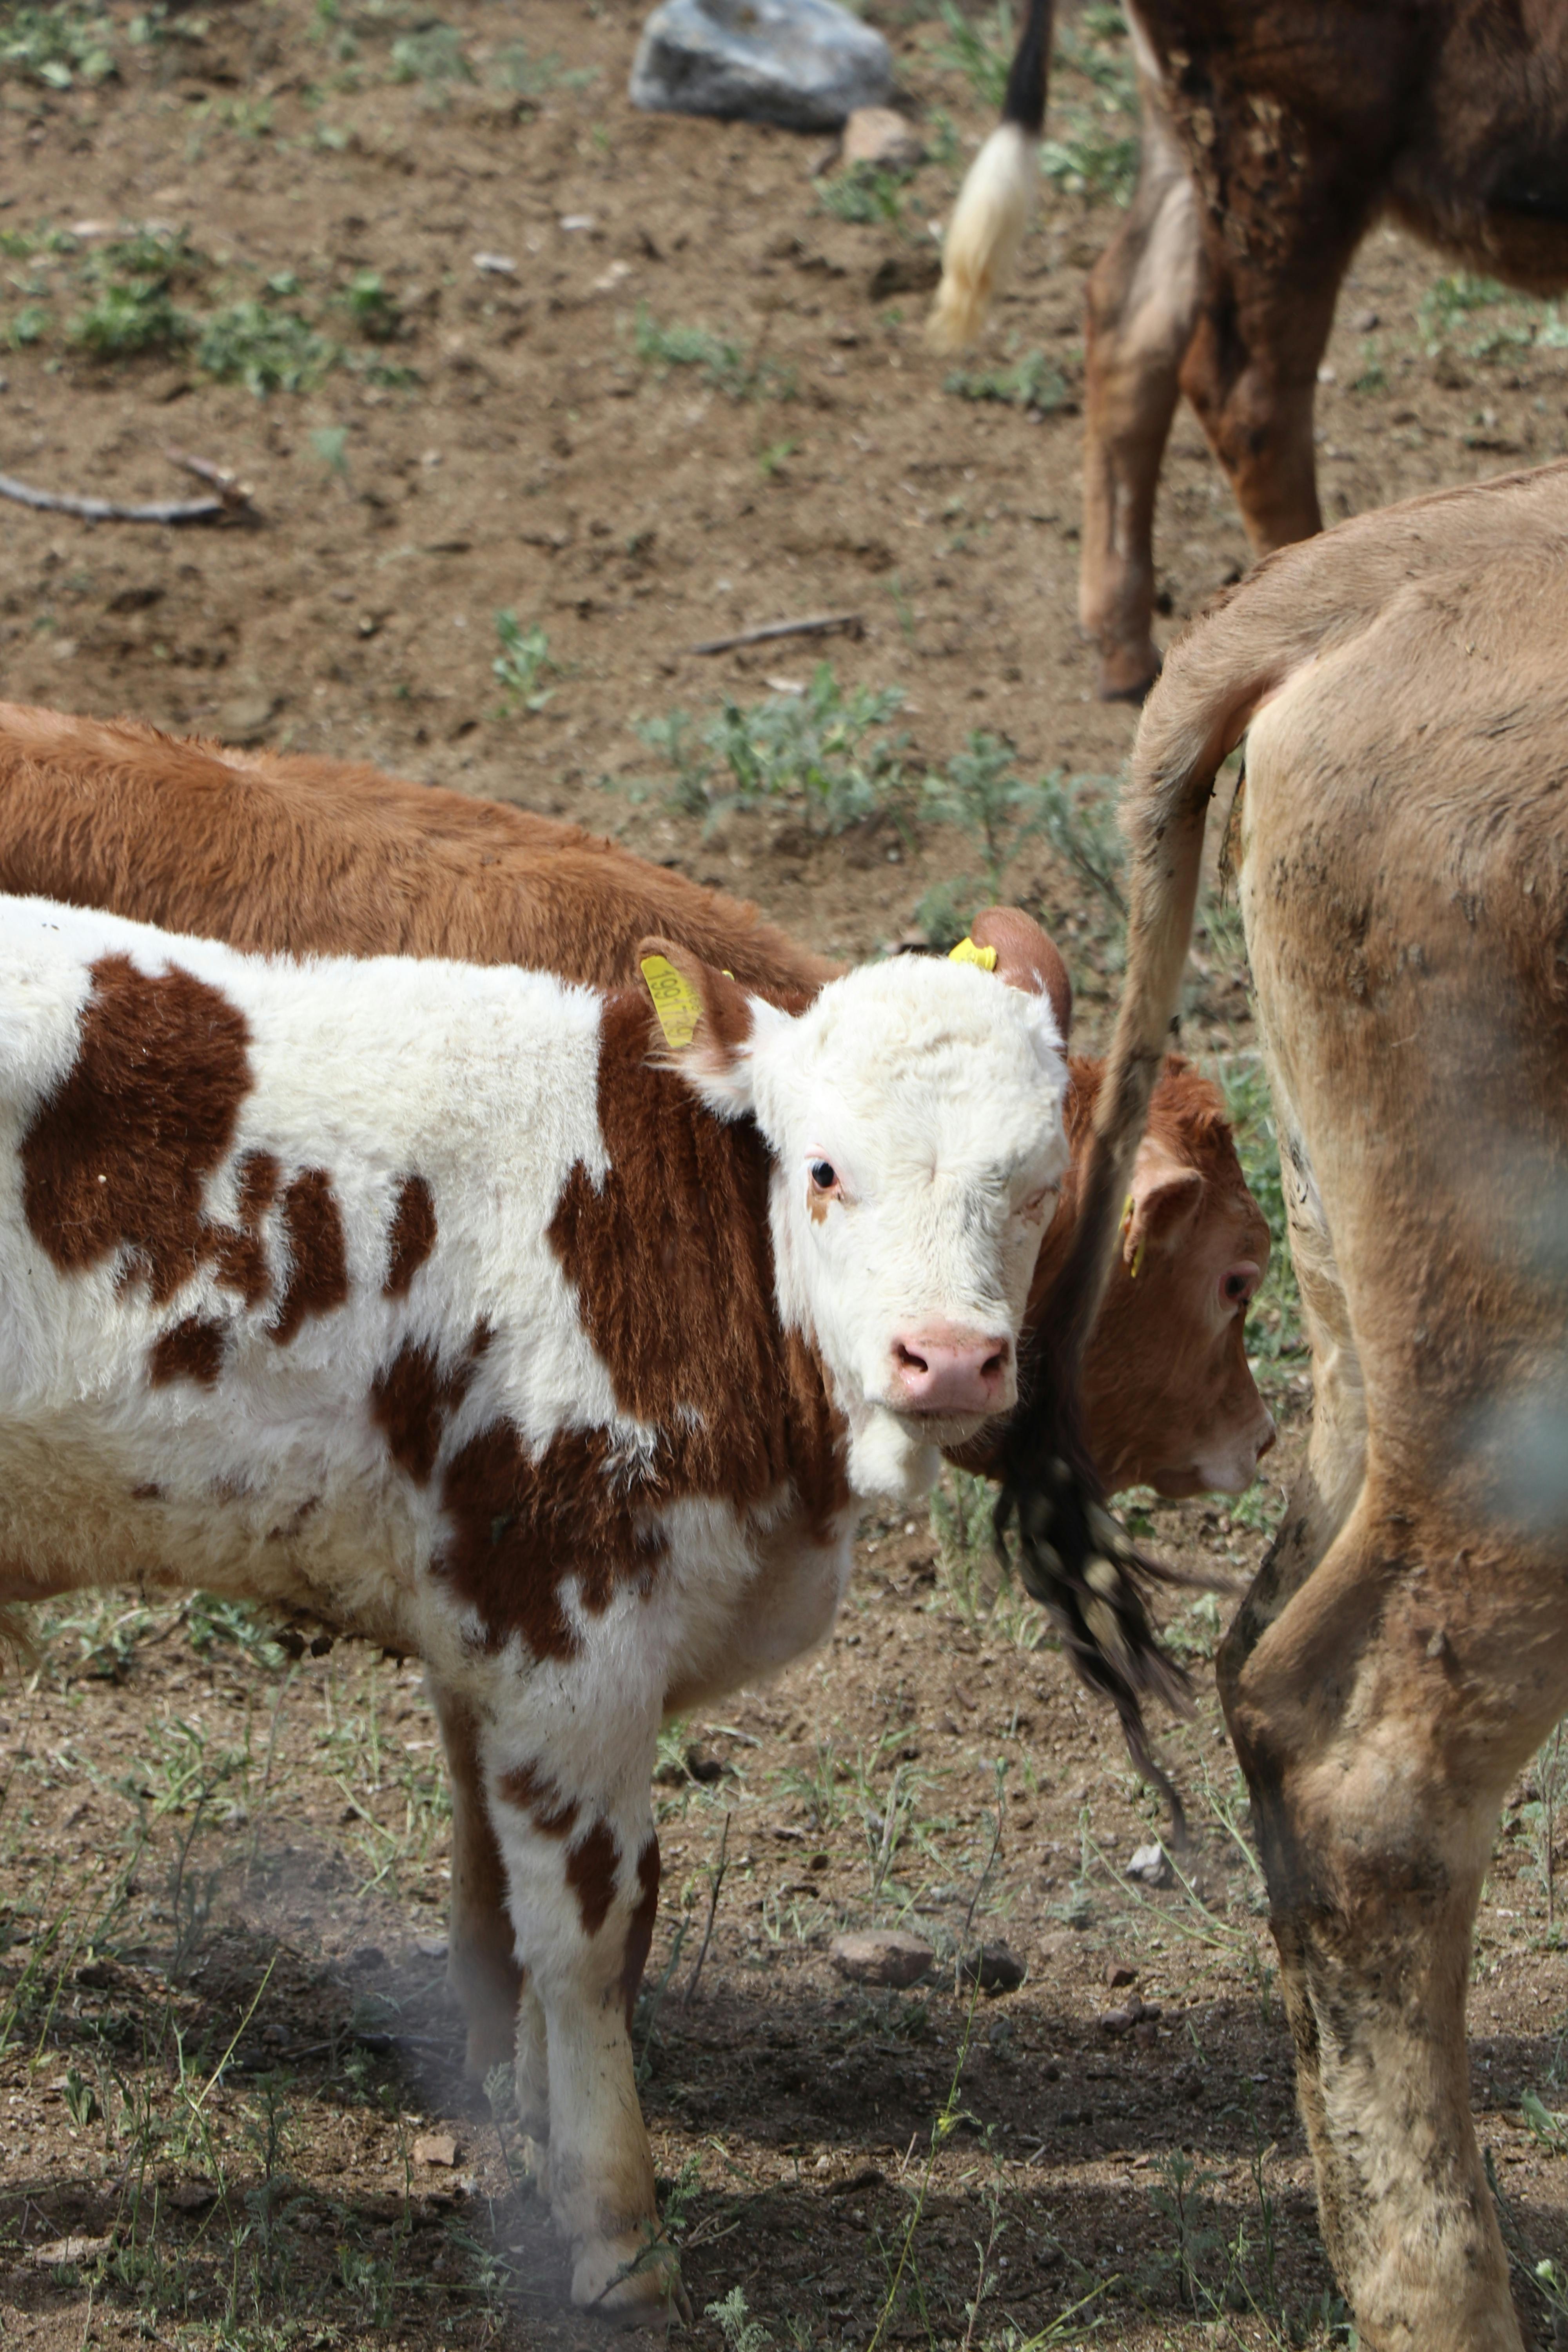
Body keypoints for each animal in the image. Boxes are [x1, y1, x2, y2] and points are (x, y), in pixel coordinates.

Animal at [0, 892, 1071, 2315]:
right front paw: (619, 2234)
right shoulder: (574, 1620)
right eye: (827, 1171)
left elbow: (504, 1900)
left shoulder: (489, 1627)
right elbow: (593, 1929)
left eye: (1040, 1183)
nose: (950, 1360)